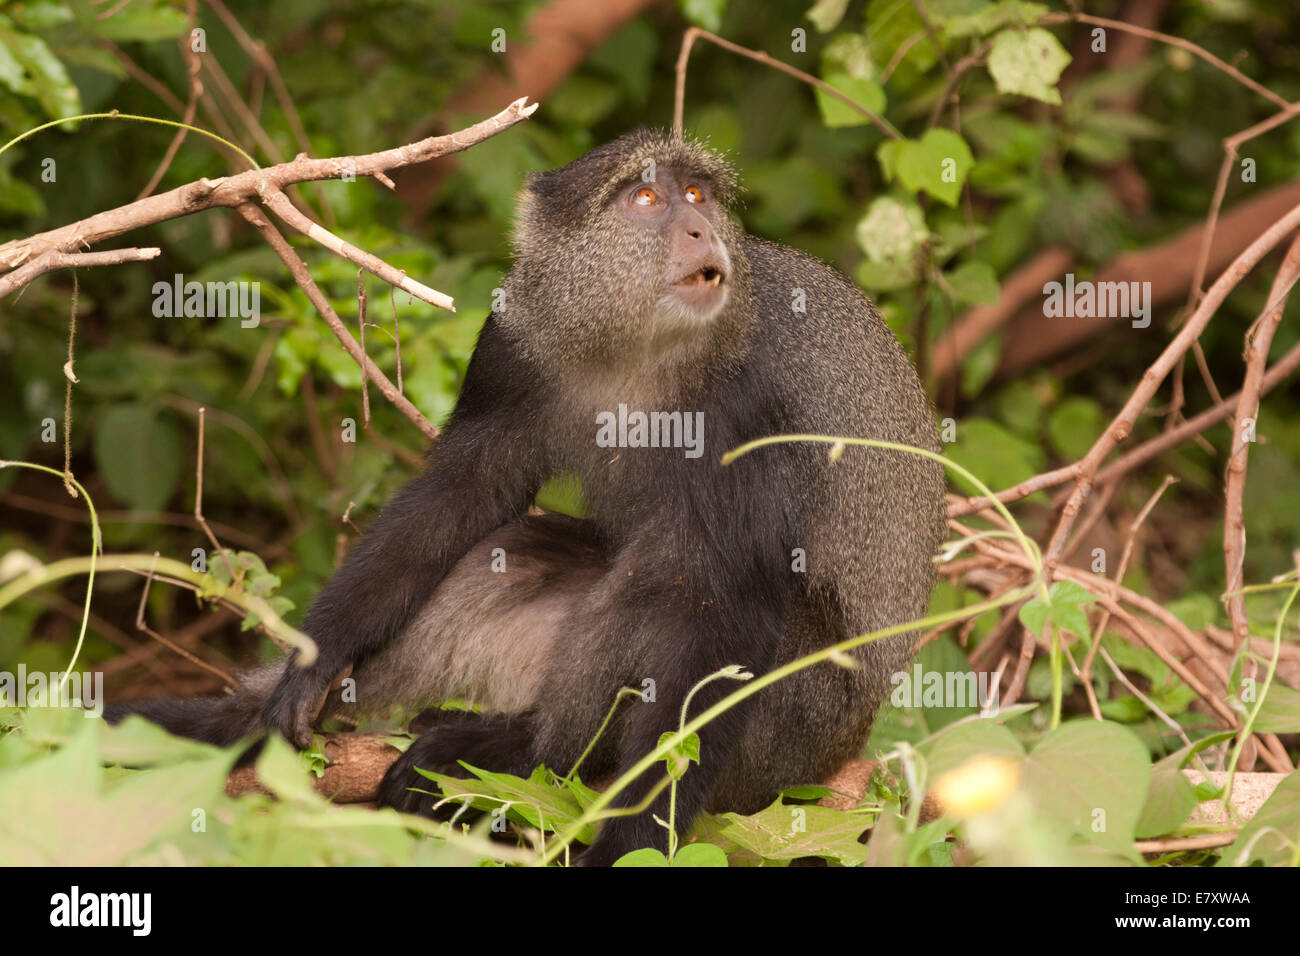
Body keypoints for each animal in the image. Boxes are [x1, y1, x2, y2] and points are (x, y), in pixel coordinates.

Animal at [106, 128, 947, 866]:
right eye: (647, 198)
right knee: (513, 549)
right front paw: (312, 667)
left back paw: (522, 749)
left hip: (791, 734)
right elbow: (463, 494)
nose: (702, 228)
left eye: (698, 193)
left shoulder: (754, 402)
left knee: (666, 575)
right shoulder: (514, 340)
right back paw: (233, 726)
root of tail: (846, 748)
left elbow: (725, 604)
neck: (639, 350)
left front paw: (634, 838)